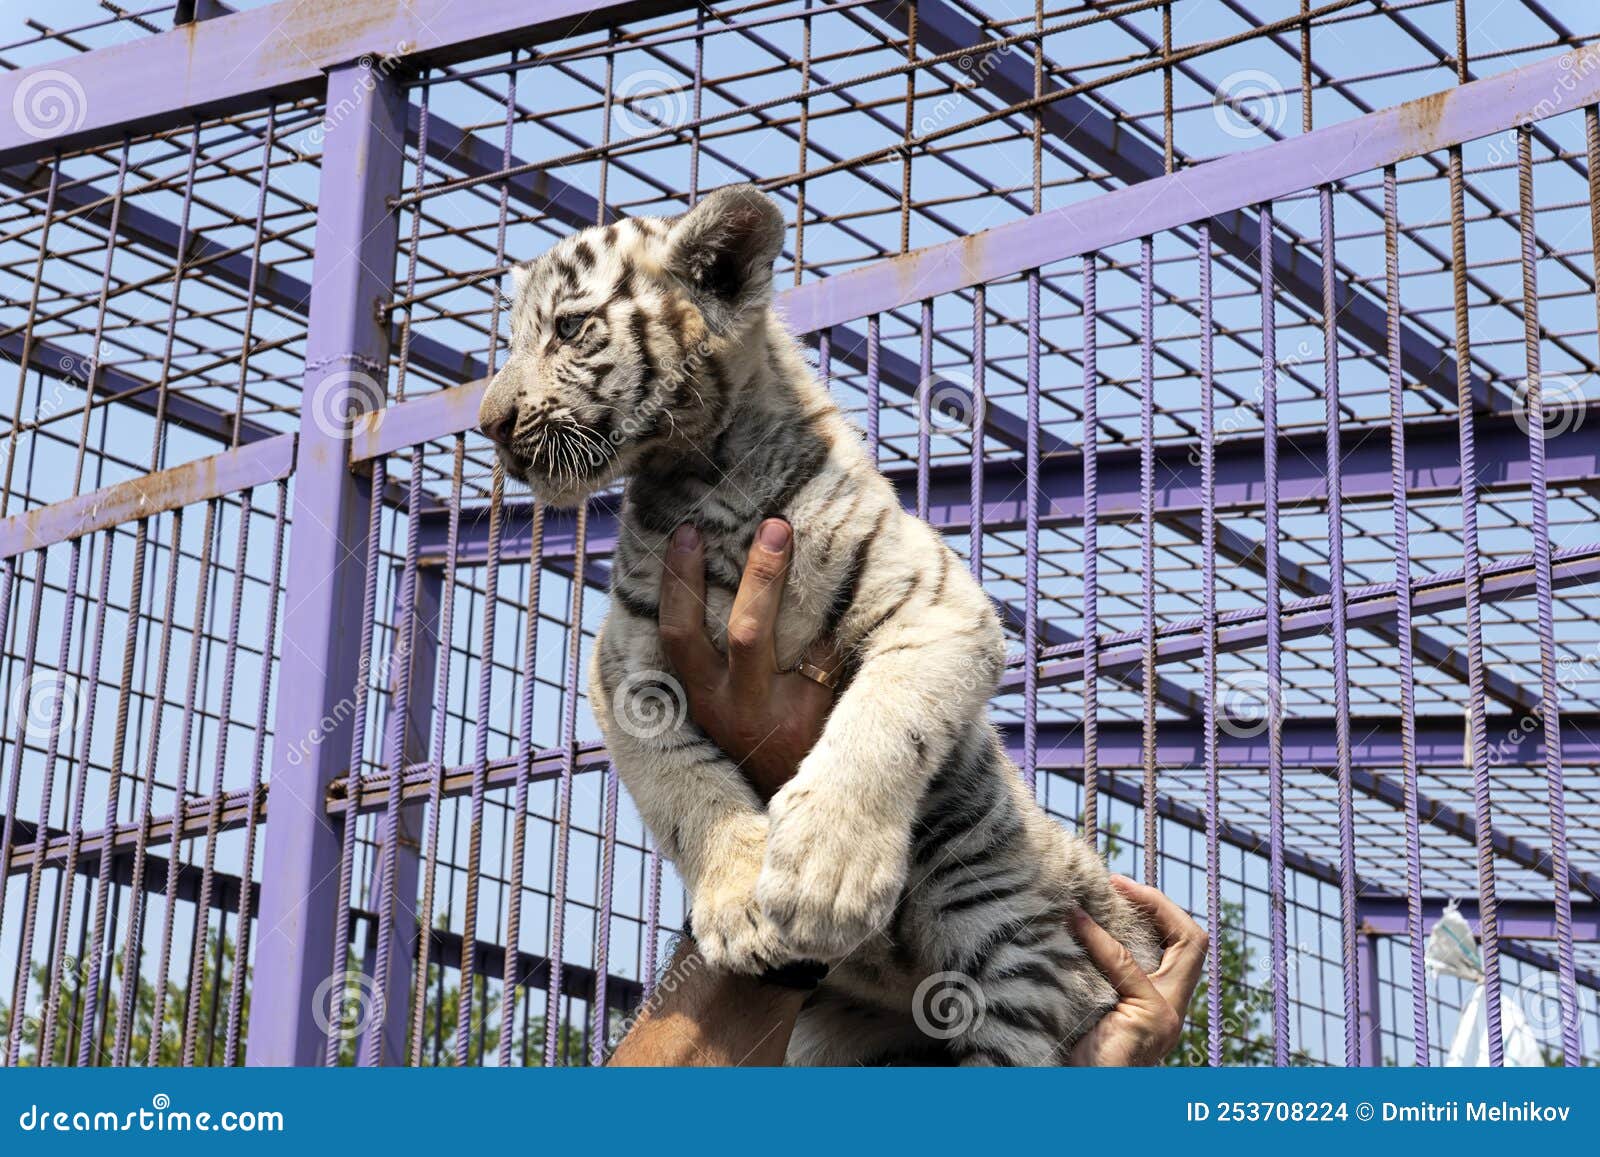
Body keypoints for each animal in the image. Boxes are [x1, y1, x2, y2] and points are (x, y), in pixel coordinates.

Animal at [477, 184, 1160, 1065]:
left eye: (567, 328)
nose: (490, 423)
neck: (699, 476)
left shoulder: (936, 601)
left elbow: (884, 720)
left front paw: (823, 878)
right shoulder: (625, 665)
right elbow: (679, 782)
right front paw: (740, 901)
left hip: (1010, 933)